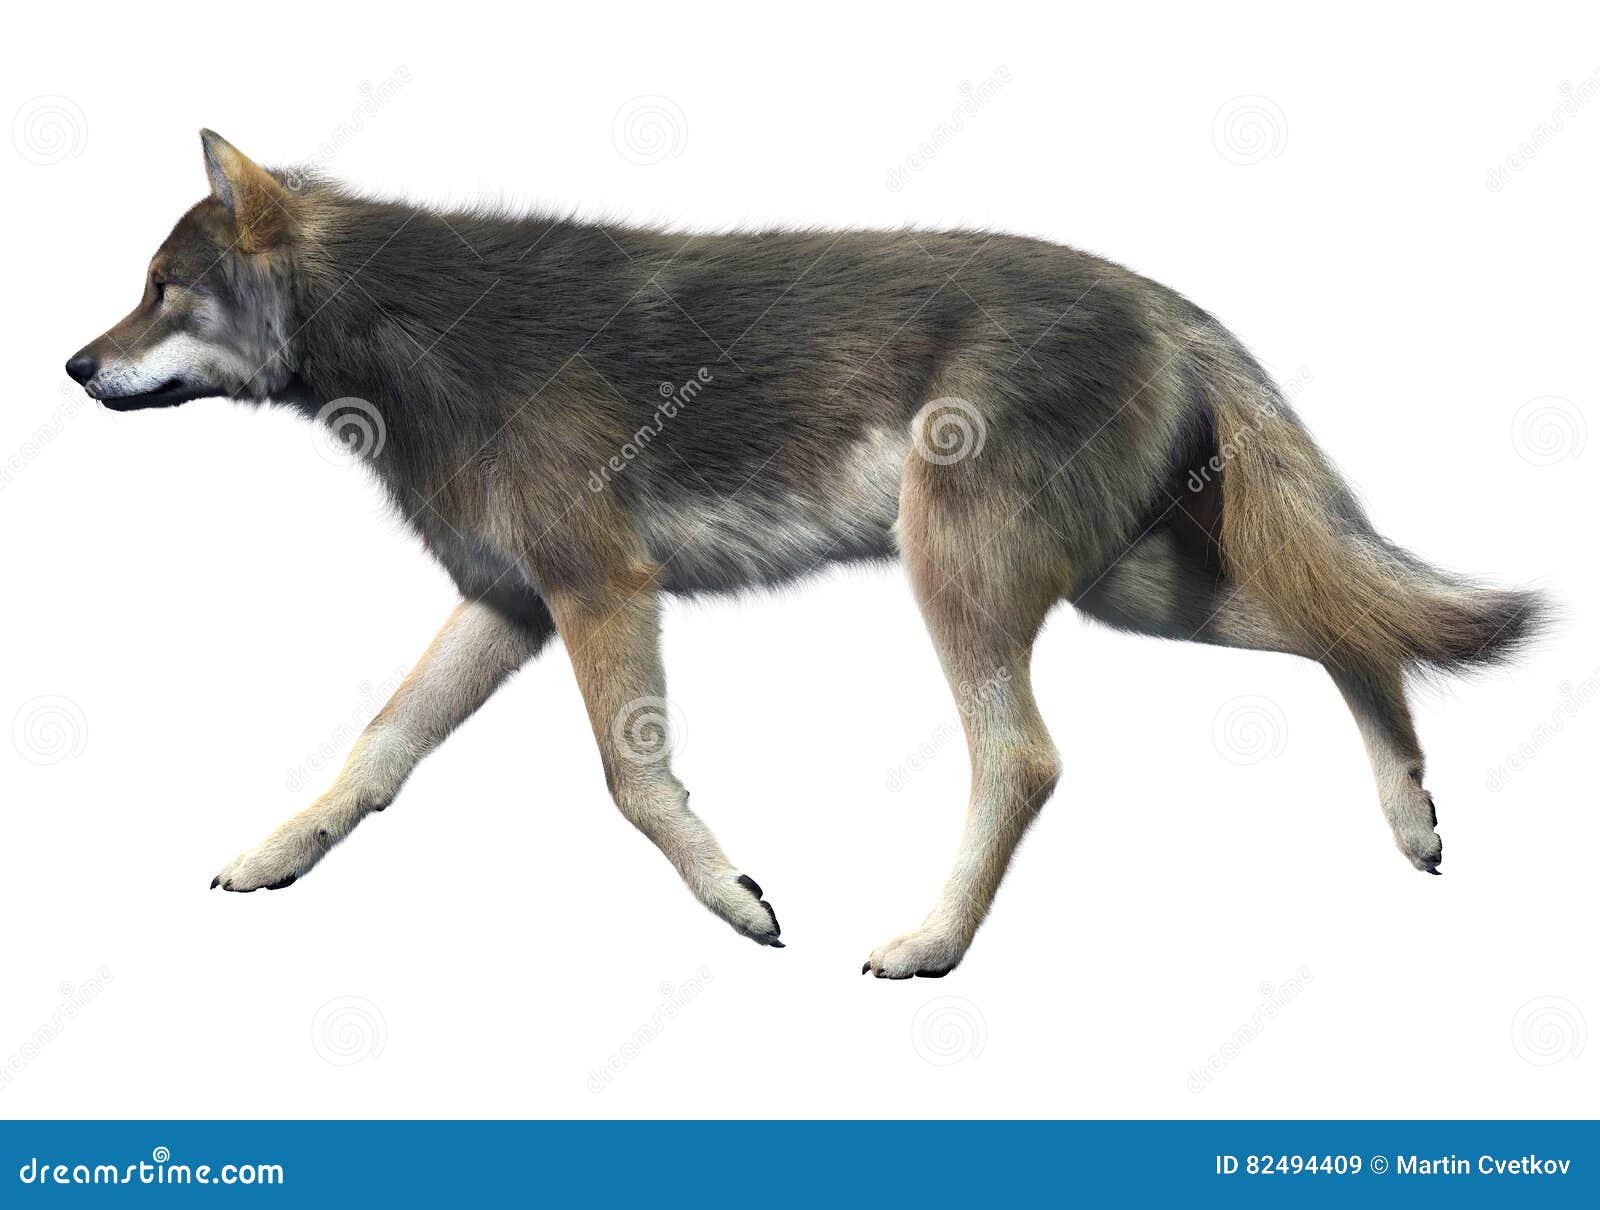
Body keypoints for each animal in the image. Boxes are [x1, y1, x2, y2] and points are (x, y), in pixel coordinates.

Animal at [65, 132, 1545, 977]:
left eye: (158, 289)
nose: (72, 365)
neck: (419, 335)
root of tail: (1166, 301)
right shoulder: (512, 606)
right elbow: (375, 754)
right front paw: (275, 859)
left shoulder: (602, 592)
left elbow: (630, 783)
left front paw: (738, 903)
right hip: (1127, 592)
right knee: (1352, 628)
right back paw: (1411, 820)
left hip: (968, 581)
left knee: (1029, 759)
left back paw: (931, 946)